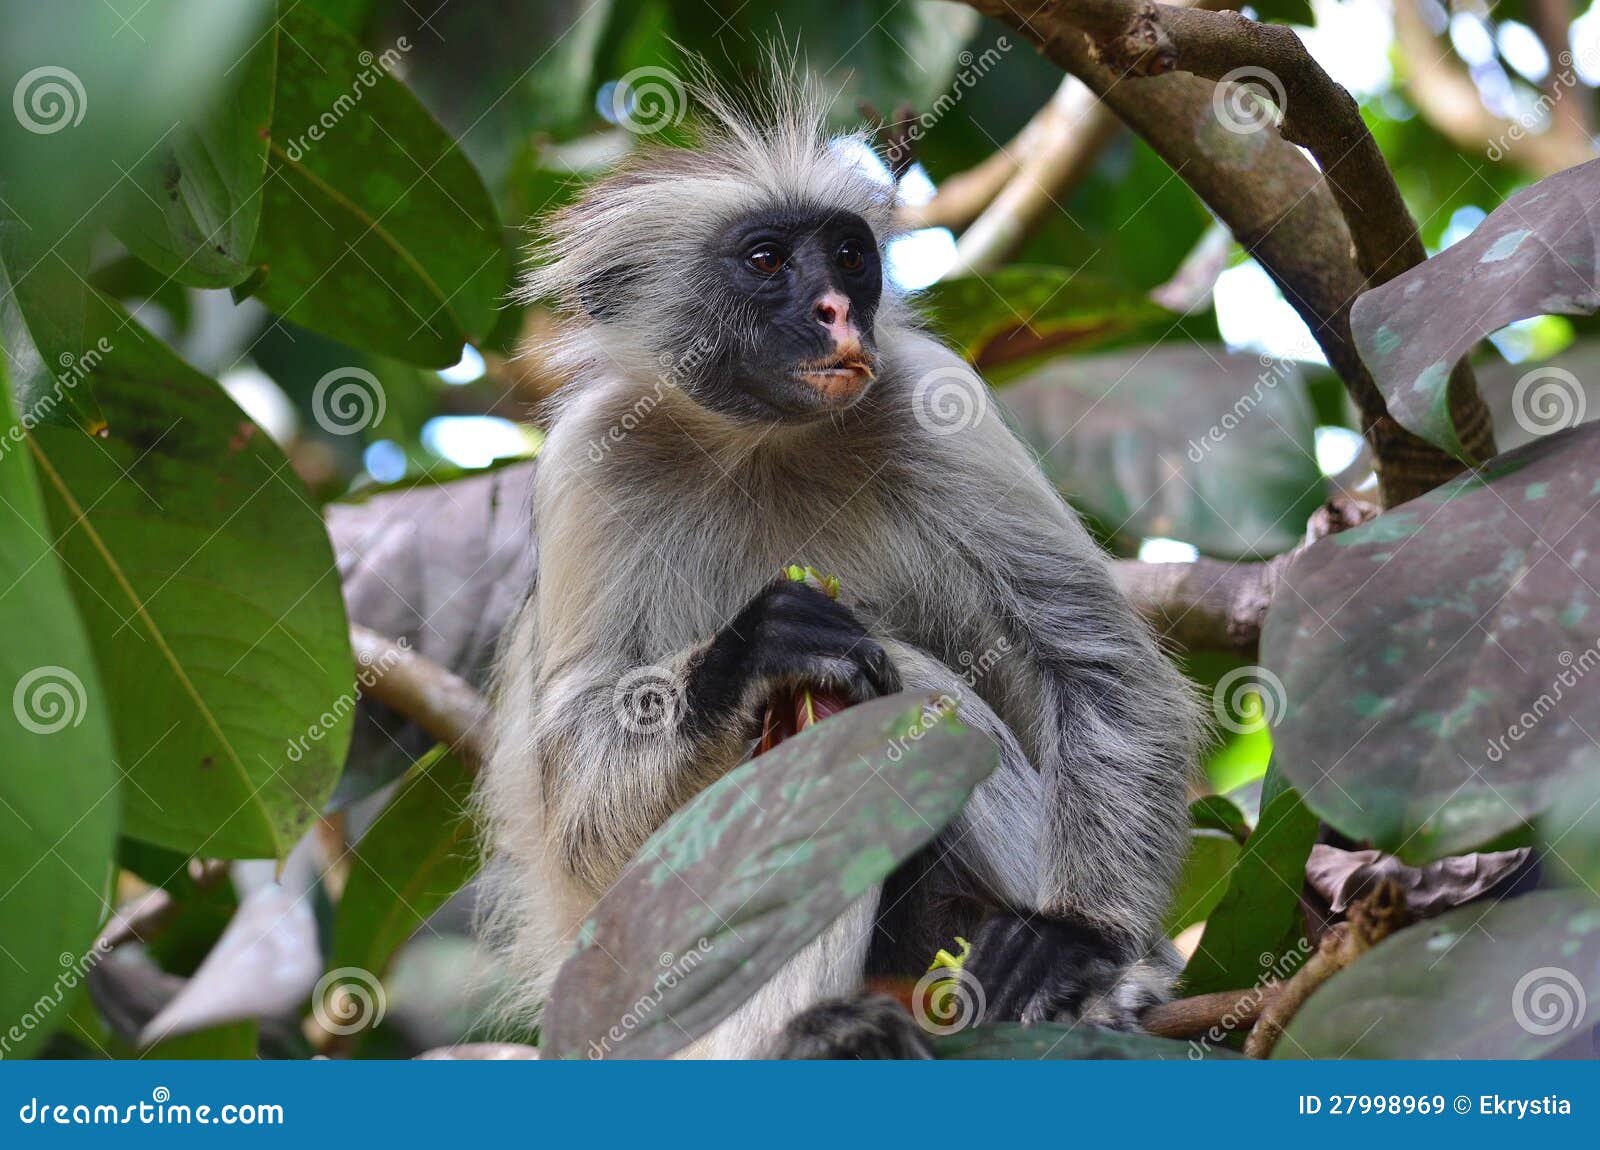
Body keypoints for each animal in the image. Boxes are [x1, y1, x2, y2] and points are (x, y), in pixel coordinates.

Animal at [474, 68, 1203, 1059]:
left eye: (851, 256)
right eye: (768, 261)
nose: (835, 311)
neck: (759, 443)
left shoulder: (929, 396)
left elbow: (1096, 663)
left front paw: (1074, 942)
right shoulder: (593, 457)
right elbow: (574, 800)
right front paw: (746, 656)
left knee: (905, 689)